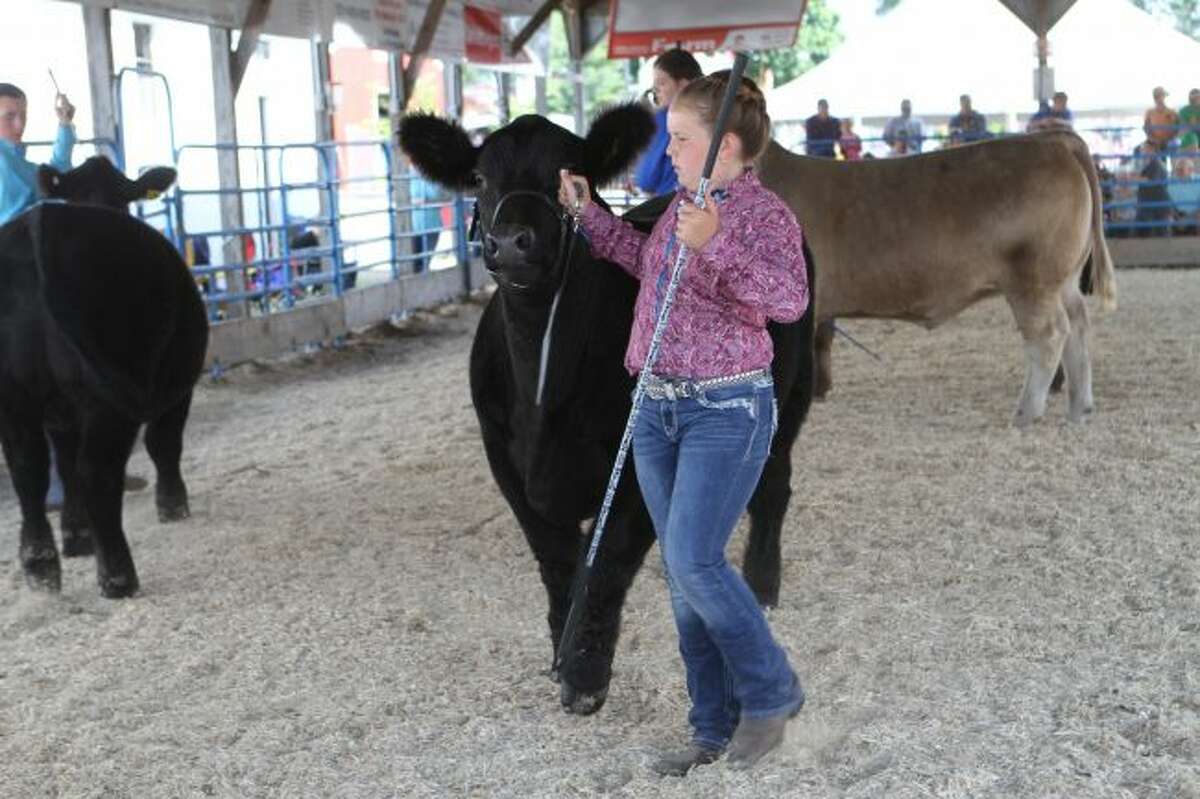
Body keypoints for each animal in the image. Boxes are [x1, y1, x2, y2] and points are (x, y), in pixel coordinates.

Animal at [0, 156, 208, 597]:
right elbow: (164, 443)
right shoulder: (177, 387)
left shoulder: (59, 413)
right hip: (107, 398)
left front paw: (76, 535)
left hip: (13, 395)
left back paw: (41, 564)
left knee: (28, 470)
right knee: (98, 472)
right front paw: (173, 505)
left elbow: (62, 465)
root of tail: (42, 223)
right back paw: (117, 576)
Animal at [758, 130, 1116, 426]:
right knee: (1078, 327)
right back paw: (1078, 409)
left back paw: (1026, 413)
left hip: (1033, 279)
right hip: (1065, 280)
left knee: (1050, 335)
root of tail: (1052, 138)